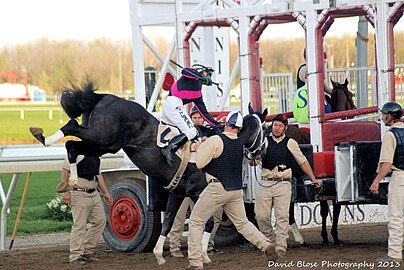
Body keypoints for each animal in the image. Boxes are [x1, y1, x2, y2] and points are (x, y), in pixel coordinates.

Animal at [28, 78, 268, 264]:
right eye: (265, 129)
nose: (261, 153)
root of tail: (106, 97)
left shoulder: (178, 192)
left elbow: (169, 221)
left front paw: (160, 253)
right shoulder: (198, 191)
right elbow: (207, 221)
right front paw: (202, 254)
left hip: (104, 144)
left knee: (73, 147)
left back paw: (68, 173)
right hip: (105, 137)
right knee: (70, 129)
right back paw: (45, 141)